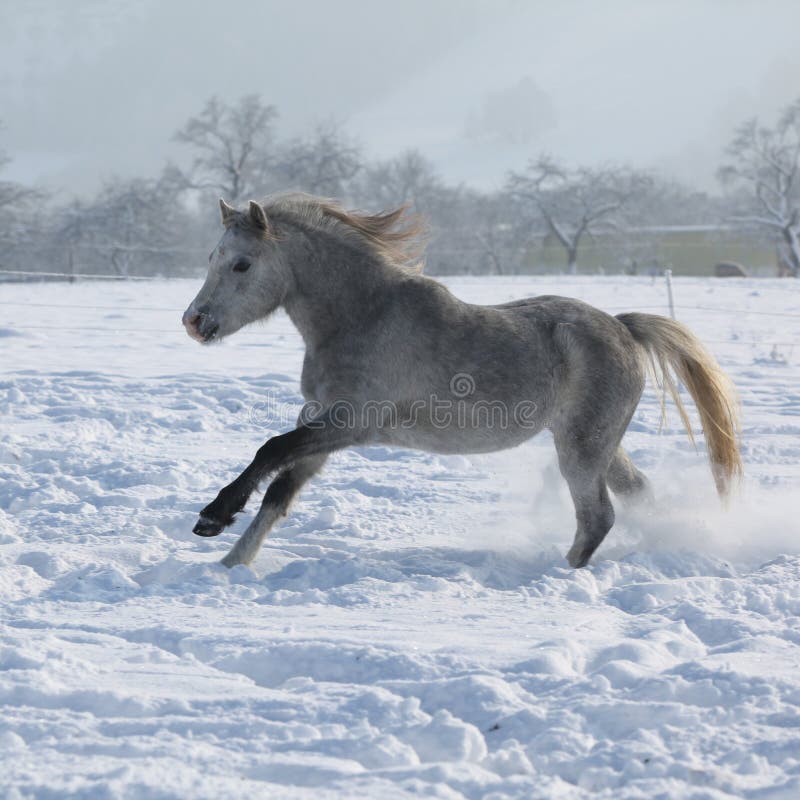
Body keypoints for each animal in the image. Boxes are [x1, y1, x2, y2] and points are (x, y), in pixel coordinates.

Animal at [181, 194, 742, 570]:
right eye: (209, 258)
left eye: (242, 263)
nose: (194, 322)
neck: (362, 315)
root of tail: (623, 327)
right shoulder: (322, 427)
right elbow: (280, 490)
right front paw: (230, 563)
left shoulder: (350, 423)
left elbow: (271, 450)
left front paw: (213, 517)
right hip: (596, 443)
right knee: (636, 494)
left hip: (582, 449)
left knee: (597, 515)